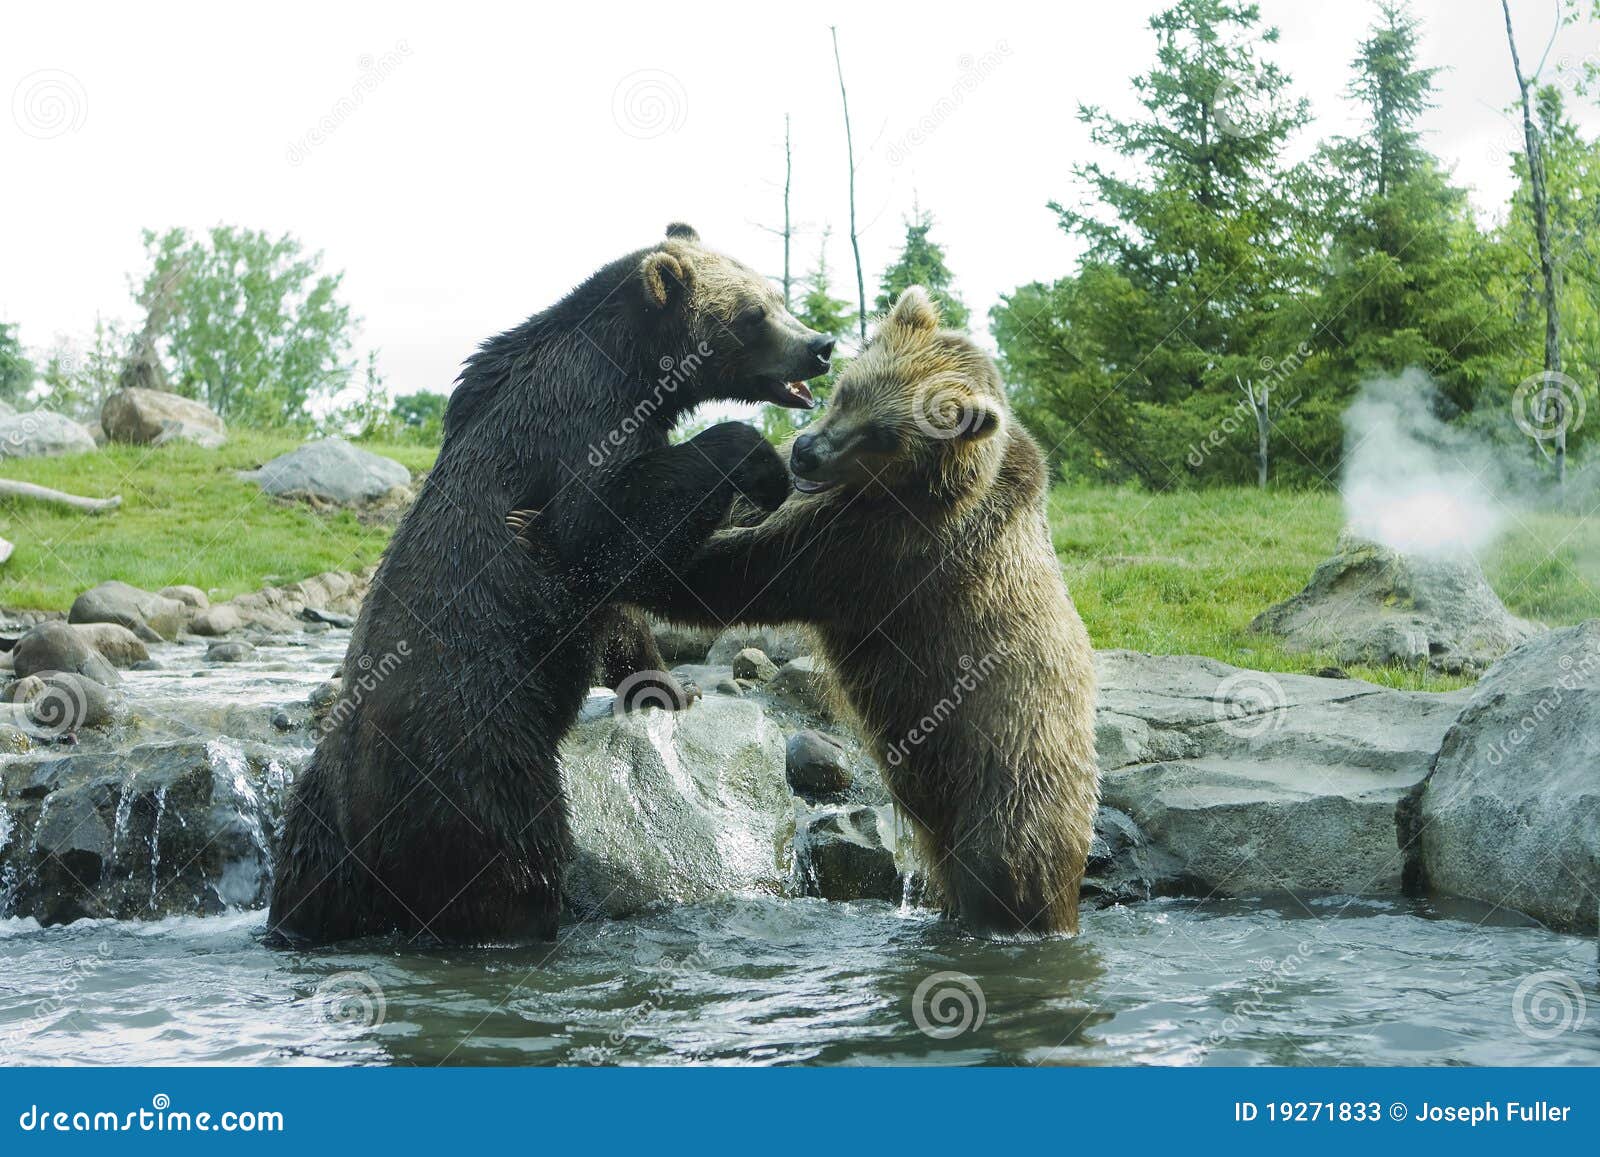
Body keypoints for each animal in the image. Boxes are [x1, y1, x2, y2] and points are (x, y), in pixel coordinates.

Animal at [267, 224, 834, 946]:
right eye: (754, 313)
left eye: (776, 294)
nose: (820, 345)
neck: (628, 367)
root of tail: (363, 827)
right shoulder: (574, 434)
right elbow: (598, 525)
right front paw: (758, 464)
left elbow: (618, 605)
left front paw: (669, 687)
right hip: (478, 756)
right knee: (514, 855)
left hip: (314, 827)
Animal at [577, 285, 1100, 936]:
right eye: (850, 389)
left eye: (883, 433)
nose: (806, 450)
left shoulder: (882, 552)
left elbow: (741, 574)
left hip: (1009, 770)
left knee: (1006, 861)